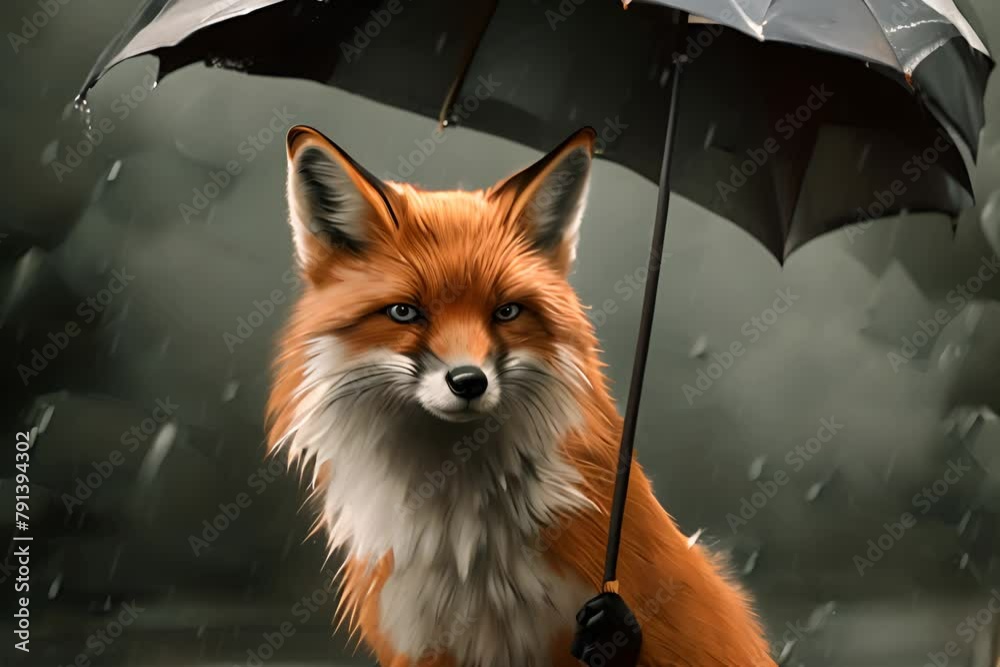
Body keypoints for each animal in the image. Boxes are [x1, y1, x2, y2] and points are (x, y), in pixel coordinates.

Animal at [266, 124, 776, 667]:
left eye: (506, 312)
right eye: (405, 312)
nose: (469, 382)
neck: (465, 535)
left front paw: (614, 633)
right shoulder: (419, 637)